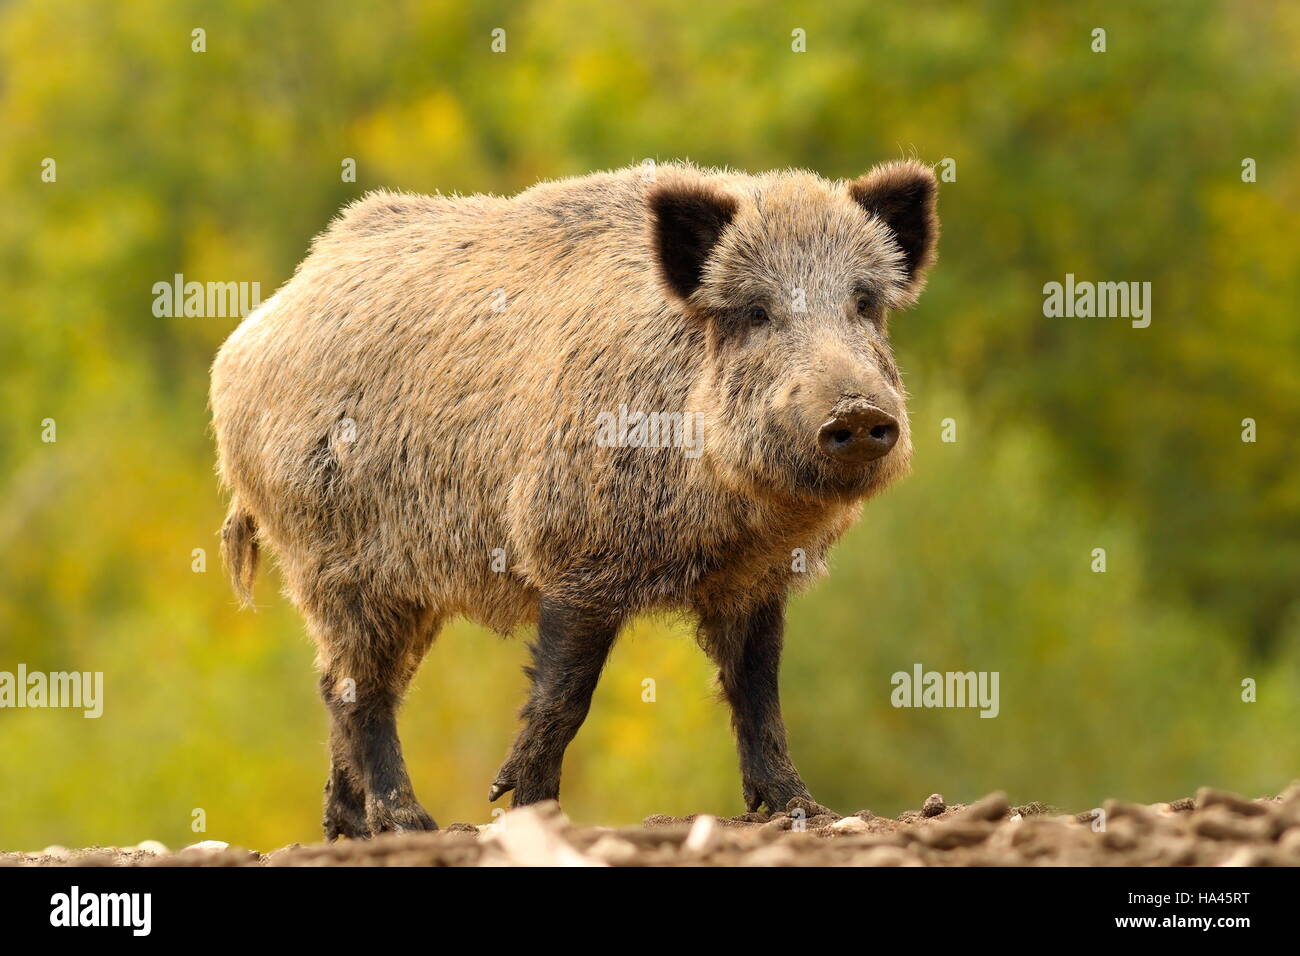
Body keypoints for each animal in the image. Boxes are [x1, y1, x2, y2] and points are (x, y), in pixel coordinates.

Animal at [209, 159, 939, 837]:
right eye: (756, 312)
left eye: (865, 304)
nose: (857, 412)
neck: (735, 517)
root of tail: (250, 335)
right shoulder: (573, 549)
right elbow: (566, 692)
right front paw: (525, 805)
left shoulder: (758, 578)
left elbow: (758, 691)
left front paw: (804, 810)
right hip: (332, 555)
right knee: (360, 690)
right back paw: (410, 824)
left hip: (404, 586)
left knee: (340, 683)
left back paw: (351, 829)